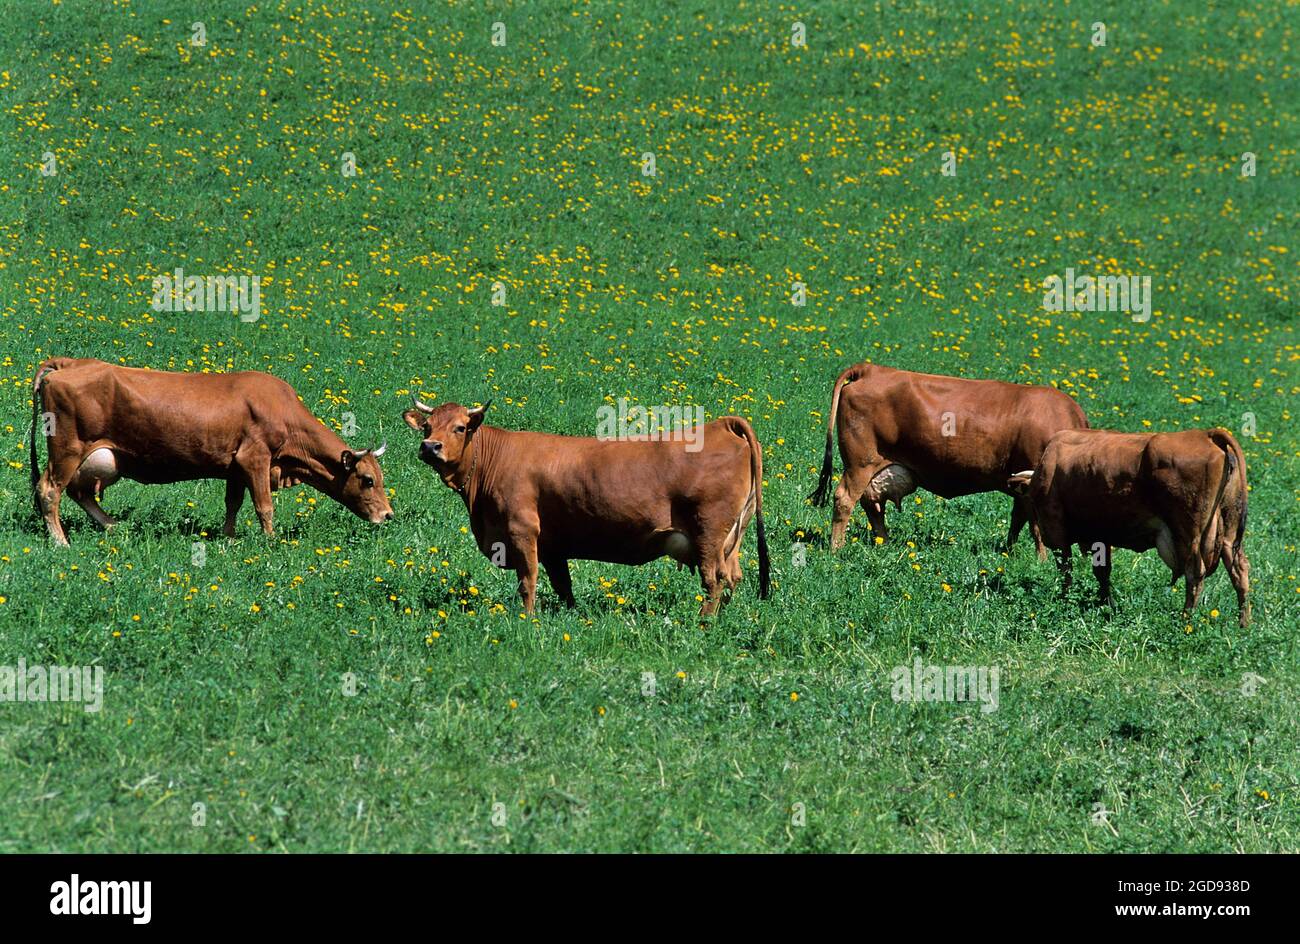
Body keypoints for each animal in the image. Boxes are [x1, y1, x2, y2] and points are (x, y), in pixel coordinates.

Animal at [30, 357, 393, 545]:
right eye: (367, 479)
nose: (388, 515)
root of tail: (68, 363)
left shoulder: (235, 466)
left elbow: (233, 503)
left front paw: (229, 538)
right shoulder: (256, 459)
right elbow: (264, 506)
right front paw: (270, 541)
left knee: (79, 492)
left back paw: (113, 526)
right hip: (67, 449)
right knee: (49, 490)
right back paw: (61, 541)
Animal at [402, 398, 770, 616]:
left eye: (460, 427)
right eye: (427, 426)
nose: (430, 447)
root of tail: (720, 425)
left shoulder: (522, 532)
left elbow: (527, 581)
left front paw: (527, 619)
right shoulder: (552, 546)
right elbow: (563, 585)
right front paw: (569, 615)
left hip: (709, 532)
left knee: (714, 579)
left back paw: (704, 623)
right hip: (730, 539)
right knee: (732, 577)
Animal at [809, 363, 1089, 553]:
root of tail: (871, 369)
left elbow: (1018, 520)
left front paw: (1009, 554)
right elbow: (1036, 527)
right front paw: (1041, 562)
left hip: (873, 469)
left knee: (872, 504)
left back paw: (884, 544)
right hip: (860, 464)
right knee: (845, 499)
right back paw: (837, 549)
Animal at [1006, 427, 1250, 626]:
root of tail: (1205, 434)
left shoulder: (1057, 533)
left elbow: (1066, 570)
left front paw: (1066, 600)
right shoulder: (1100, 535)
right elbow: (1102, 572)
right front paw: (1106, 604)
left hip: (1190, 534)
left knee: (1195, 573)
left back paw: (1185, 621)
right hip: (1228, 532)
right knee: (1239, 570)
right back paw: (1244, 624)